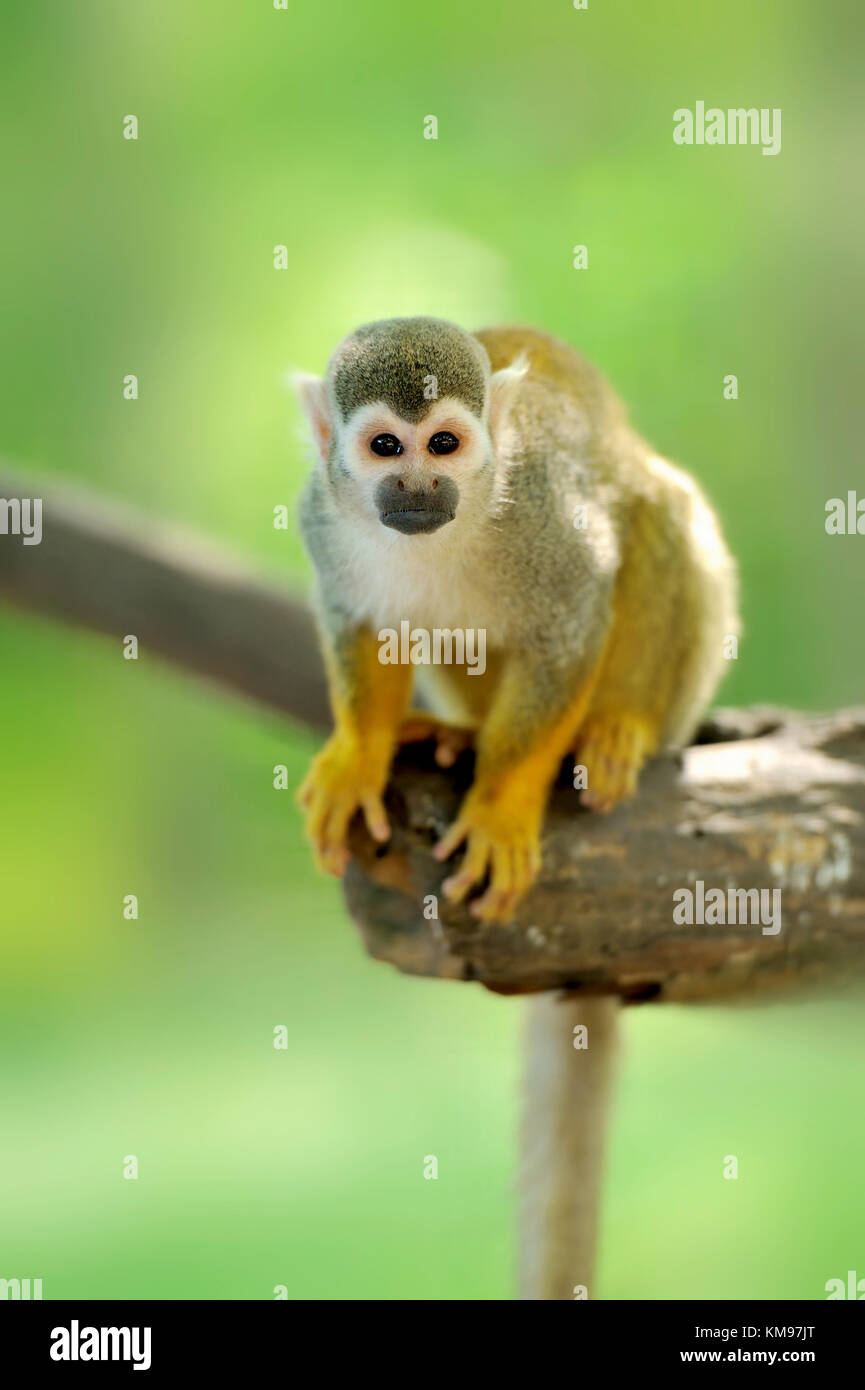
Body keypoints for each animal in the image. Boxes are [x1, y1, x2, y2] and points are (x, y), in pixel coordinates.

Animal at [295, 316, 738, 1297]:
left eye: (443, 445)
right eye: (385, 447)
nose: (418, 488)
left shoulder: (544, 521)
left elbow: (570, 622)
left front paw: (501, 805)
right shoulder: (321, 517)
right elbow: (360, 622)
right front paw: (359, 754)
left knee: (654, 504)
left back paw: (615, 730)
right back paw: (455, 736)